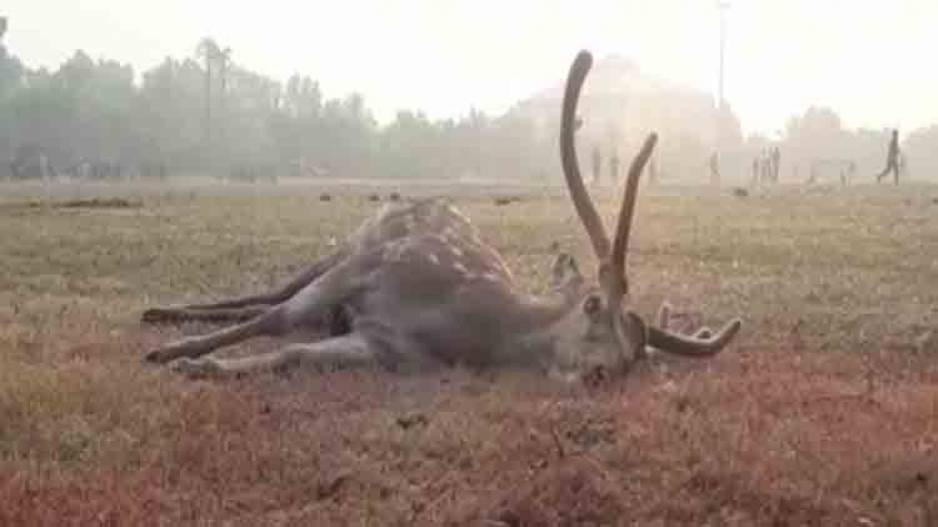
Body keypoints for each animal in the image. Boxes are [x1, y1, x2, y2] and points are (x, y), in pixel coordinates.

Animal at [141, 50, 742, 382]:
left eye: (636, 353)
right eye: (593, 305)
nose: (602, 373)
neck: (455, 317)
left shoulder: (390, 350)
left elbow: (291, 353)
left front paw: (203, 367)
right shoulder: (367, 267)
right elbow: (269, 322)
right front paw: (175, 354)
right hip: (346, 246)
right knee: (269, 295)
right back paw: (159, 314)